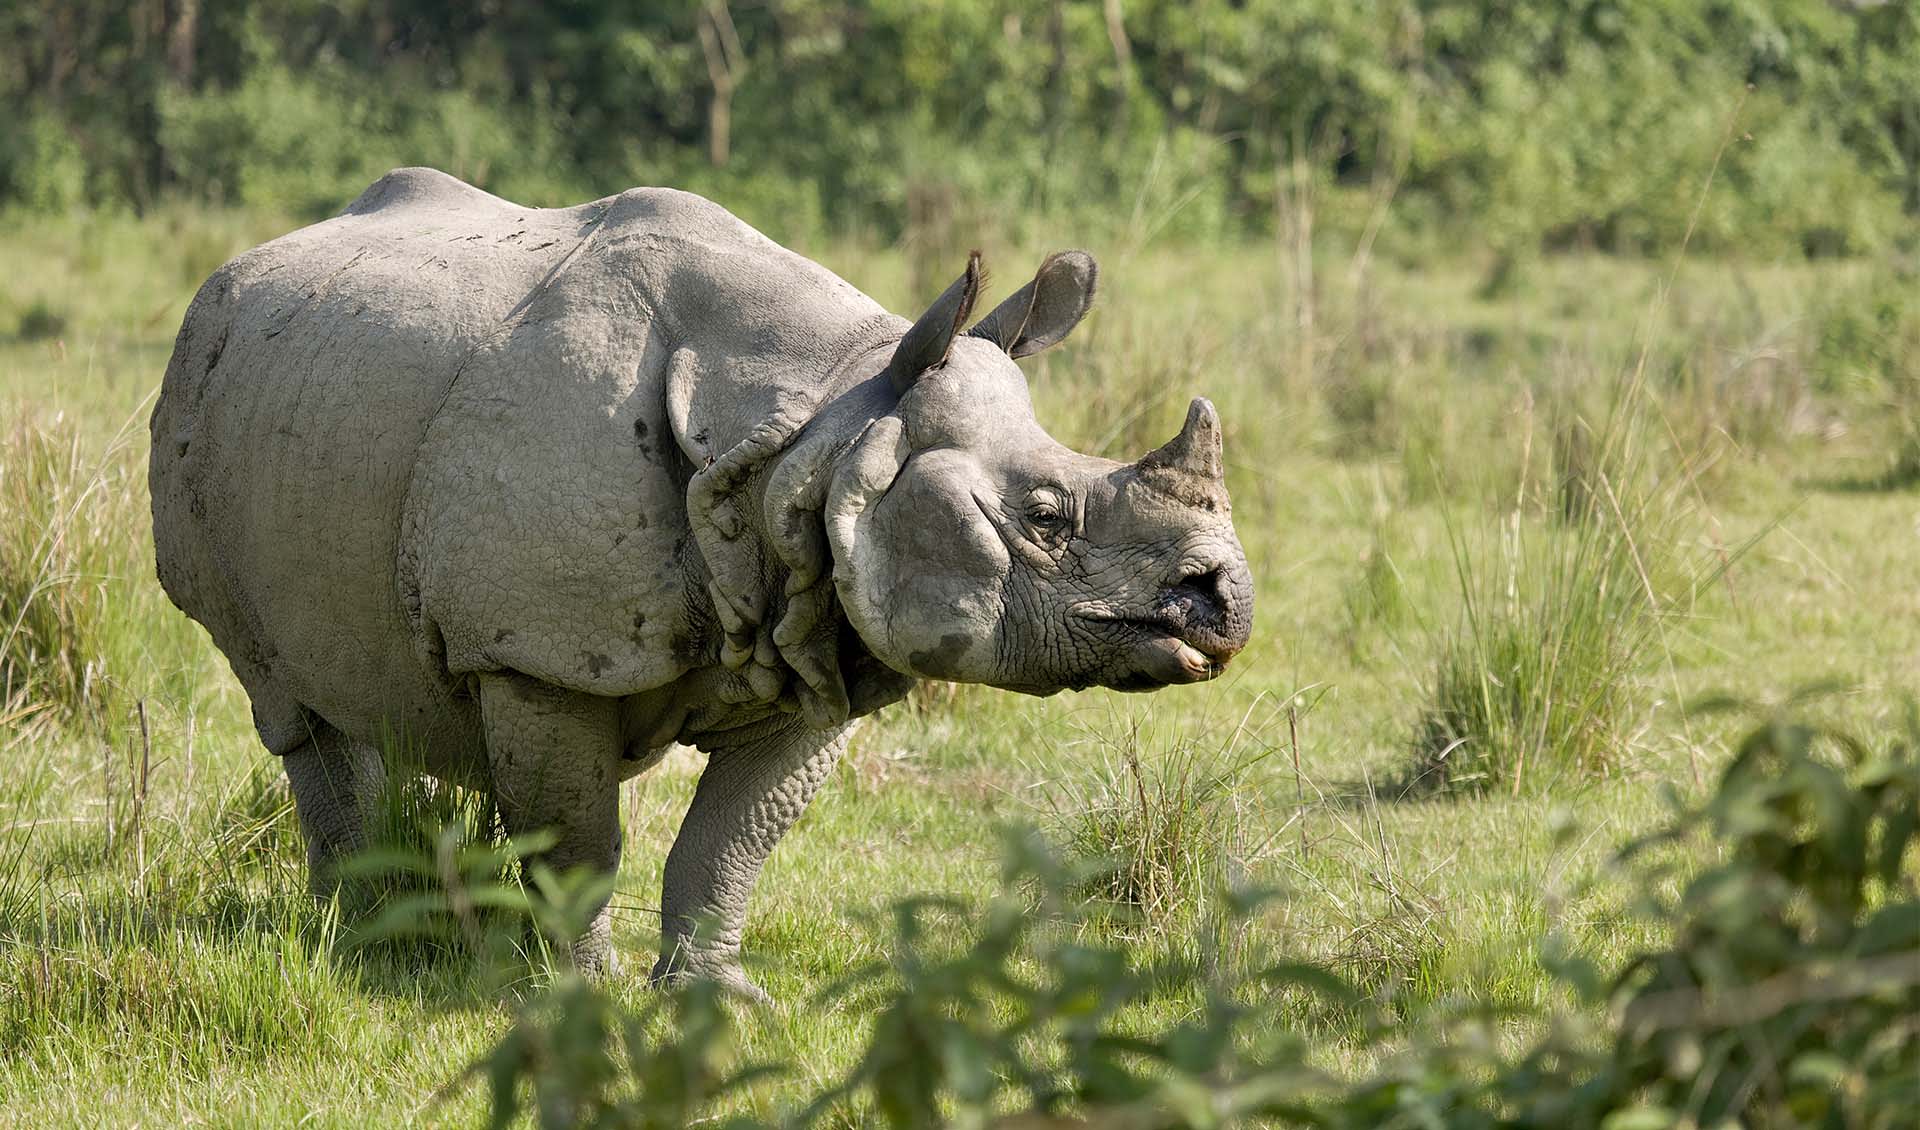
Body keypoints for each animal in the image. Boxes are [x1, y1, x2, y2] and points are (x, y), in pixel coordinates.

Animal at [151, 167, 1253, 997]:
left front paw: (716, 998)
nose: (1227, 603)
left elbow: (732, 842)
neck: (821, 425)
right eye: (1046, 517)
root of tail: (234, 271)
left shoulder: (822, 625)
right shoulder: (538, 652)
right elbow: (580, 841)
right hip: (208, 395)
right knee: (289, 702)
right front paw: (582, 994)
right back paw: (364, 937)